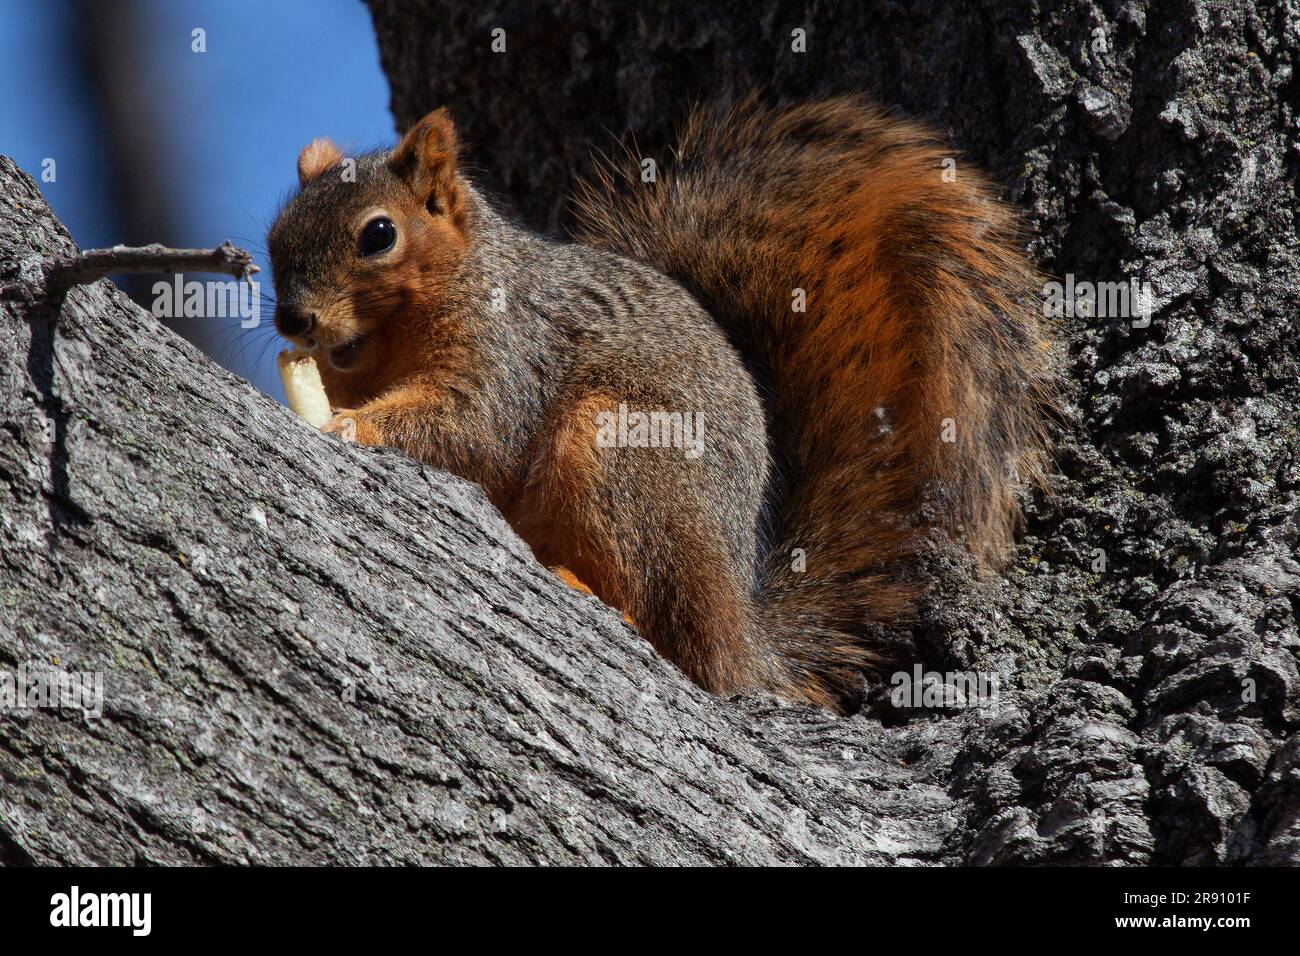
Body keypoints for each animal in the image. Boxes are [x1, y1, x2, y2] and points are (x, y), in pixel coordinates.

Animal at [266, 96, 1055, 713]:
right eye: (275, 238)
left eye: (379, 234)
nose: (292, 320)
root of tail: (739, 626)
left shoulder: (508, 353)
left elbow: (474, 426)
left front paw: (353, 423)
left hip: (619, 457)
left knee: (660, 620)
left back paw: (590, 588)